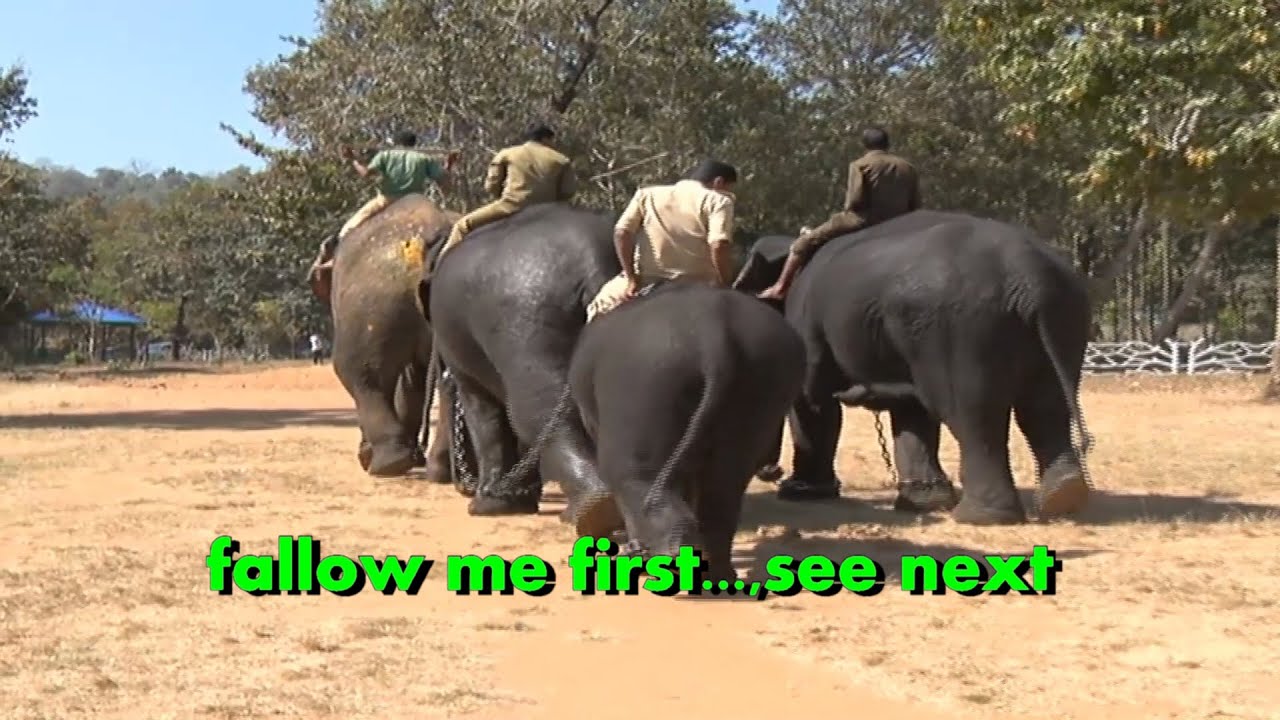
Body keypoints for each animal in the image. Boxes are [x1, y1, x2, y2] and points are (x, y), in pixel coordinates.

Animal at [420, 201, 626, 538]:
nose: (460, 485)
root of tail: (595, 260)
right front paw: (521, 500)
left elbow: (482, 407)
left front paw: (487, 507)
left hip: (525, 318)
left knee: (534, 408)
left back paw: (593, 511)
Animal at [568, 280, 806, 581]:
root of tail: (715, 335)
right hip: (762, 391)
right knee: (722, 494)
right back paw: (718, 577)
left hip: (645, 394)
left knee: (639, 482)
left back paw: (657, 564)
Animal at [732, 209, 1095, 525]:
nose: (771, 472)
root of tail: (1031, 280)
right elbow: (911, 412)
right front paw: (925, 501)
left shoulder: (807, 321)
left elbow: (813, 399)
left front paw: (801, 492)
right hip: (1065, 319)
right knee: (1045, 409)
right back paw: (1064, 498)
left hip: (963, 327)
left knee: (972, 413)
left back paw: (979, 517)